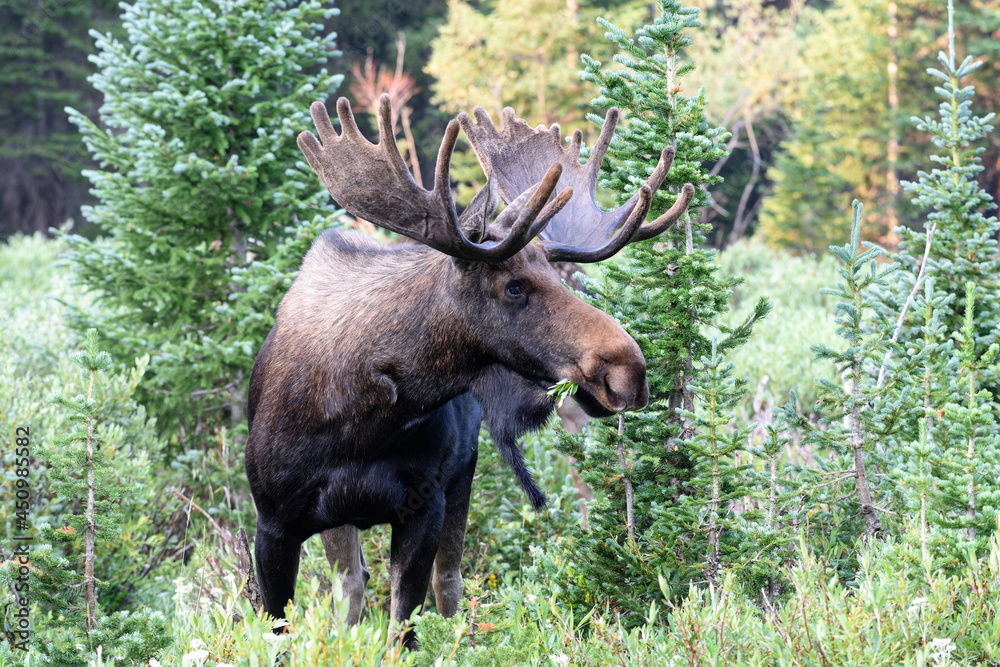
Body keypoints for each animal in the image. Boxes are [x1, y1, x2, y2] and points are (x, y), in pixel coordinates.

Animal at [244, 93, 694, 645]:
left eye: (557, 274)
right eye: (514, 286)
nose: (629, 370)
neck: (360, 418)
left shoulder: (426, 504)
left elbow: (404, 627)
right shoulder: (273, 523)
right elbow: (280, 628)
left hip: (462, 475)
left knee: (447, 581)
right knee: (350, 586)